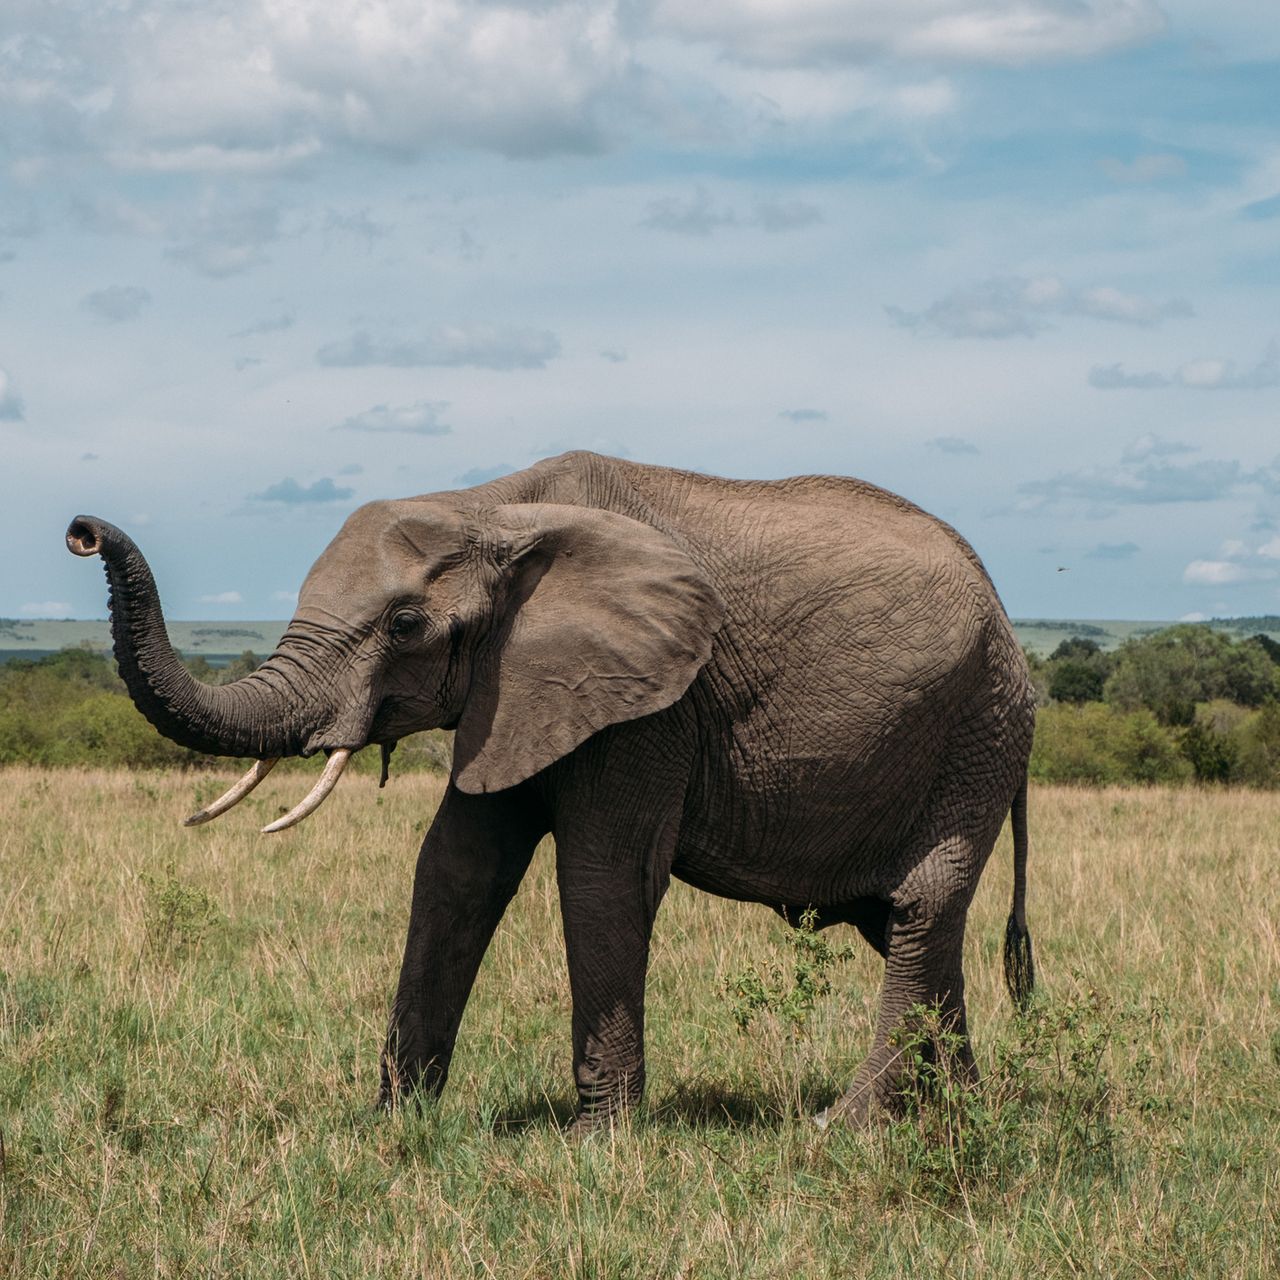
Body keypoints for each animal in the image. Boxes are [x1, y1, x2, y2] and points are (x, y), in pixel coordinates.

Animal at [67, 450, 1035, 1128]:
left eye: (406, 624)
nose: (81, 529)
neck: (493, 505)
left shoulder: (655, 701)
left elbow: (602, 877)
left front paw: (598, 1143)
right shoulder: (519, 686)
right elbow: (456, 868)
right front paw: (391, 1127)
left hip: (977, 729)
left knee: (919, 906)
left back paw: (850, 1127)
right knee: (908, 927)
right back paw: (960, 1117)